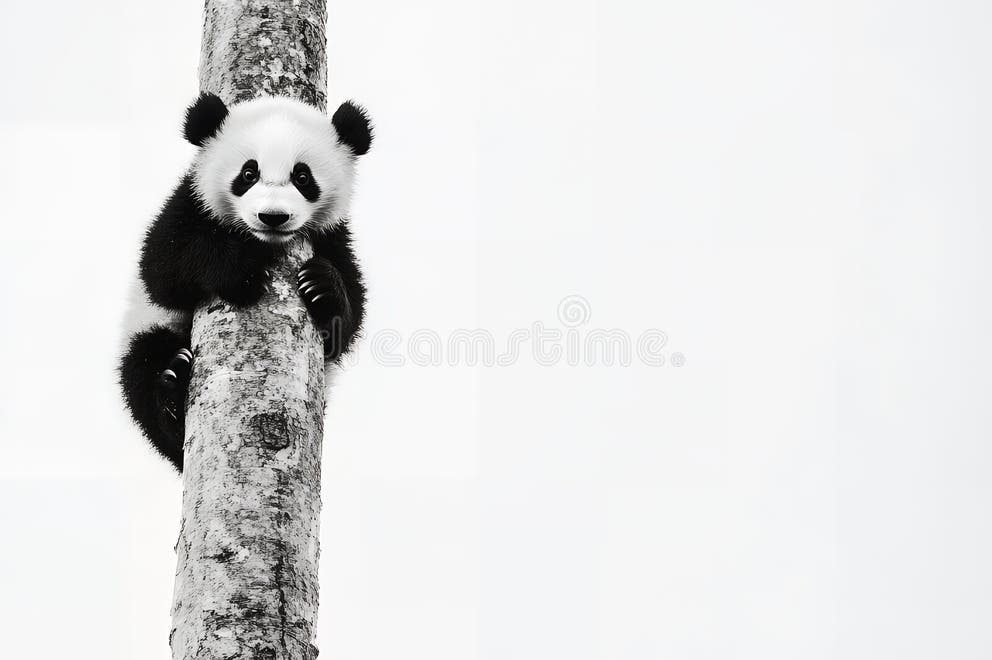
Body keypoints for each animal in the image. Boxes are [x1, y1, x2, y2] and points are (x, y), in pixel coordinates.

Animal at [119, 93, 371, 473]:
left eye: (303, 177)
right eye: (248, 173)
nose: (273, 217)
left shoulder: (333, 236)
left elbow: (348, 320)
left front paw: (323, 287)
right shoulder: (189, 202)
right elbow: (161, 268)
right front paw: (240, 269)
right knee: (141, 366)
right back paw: (172, 391)